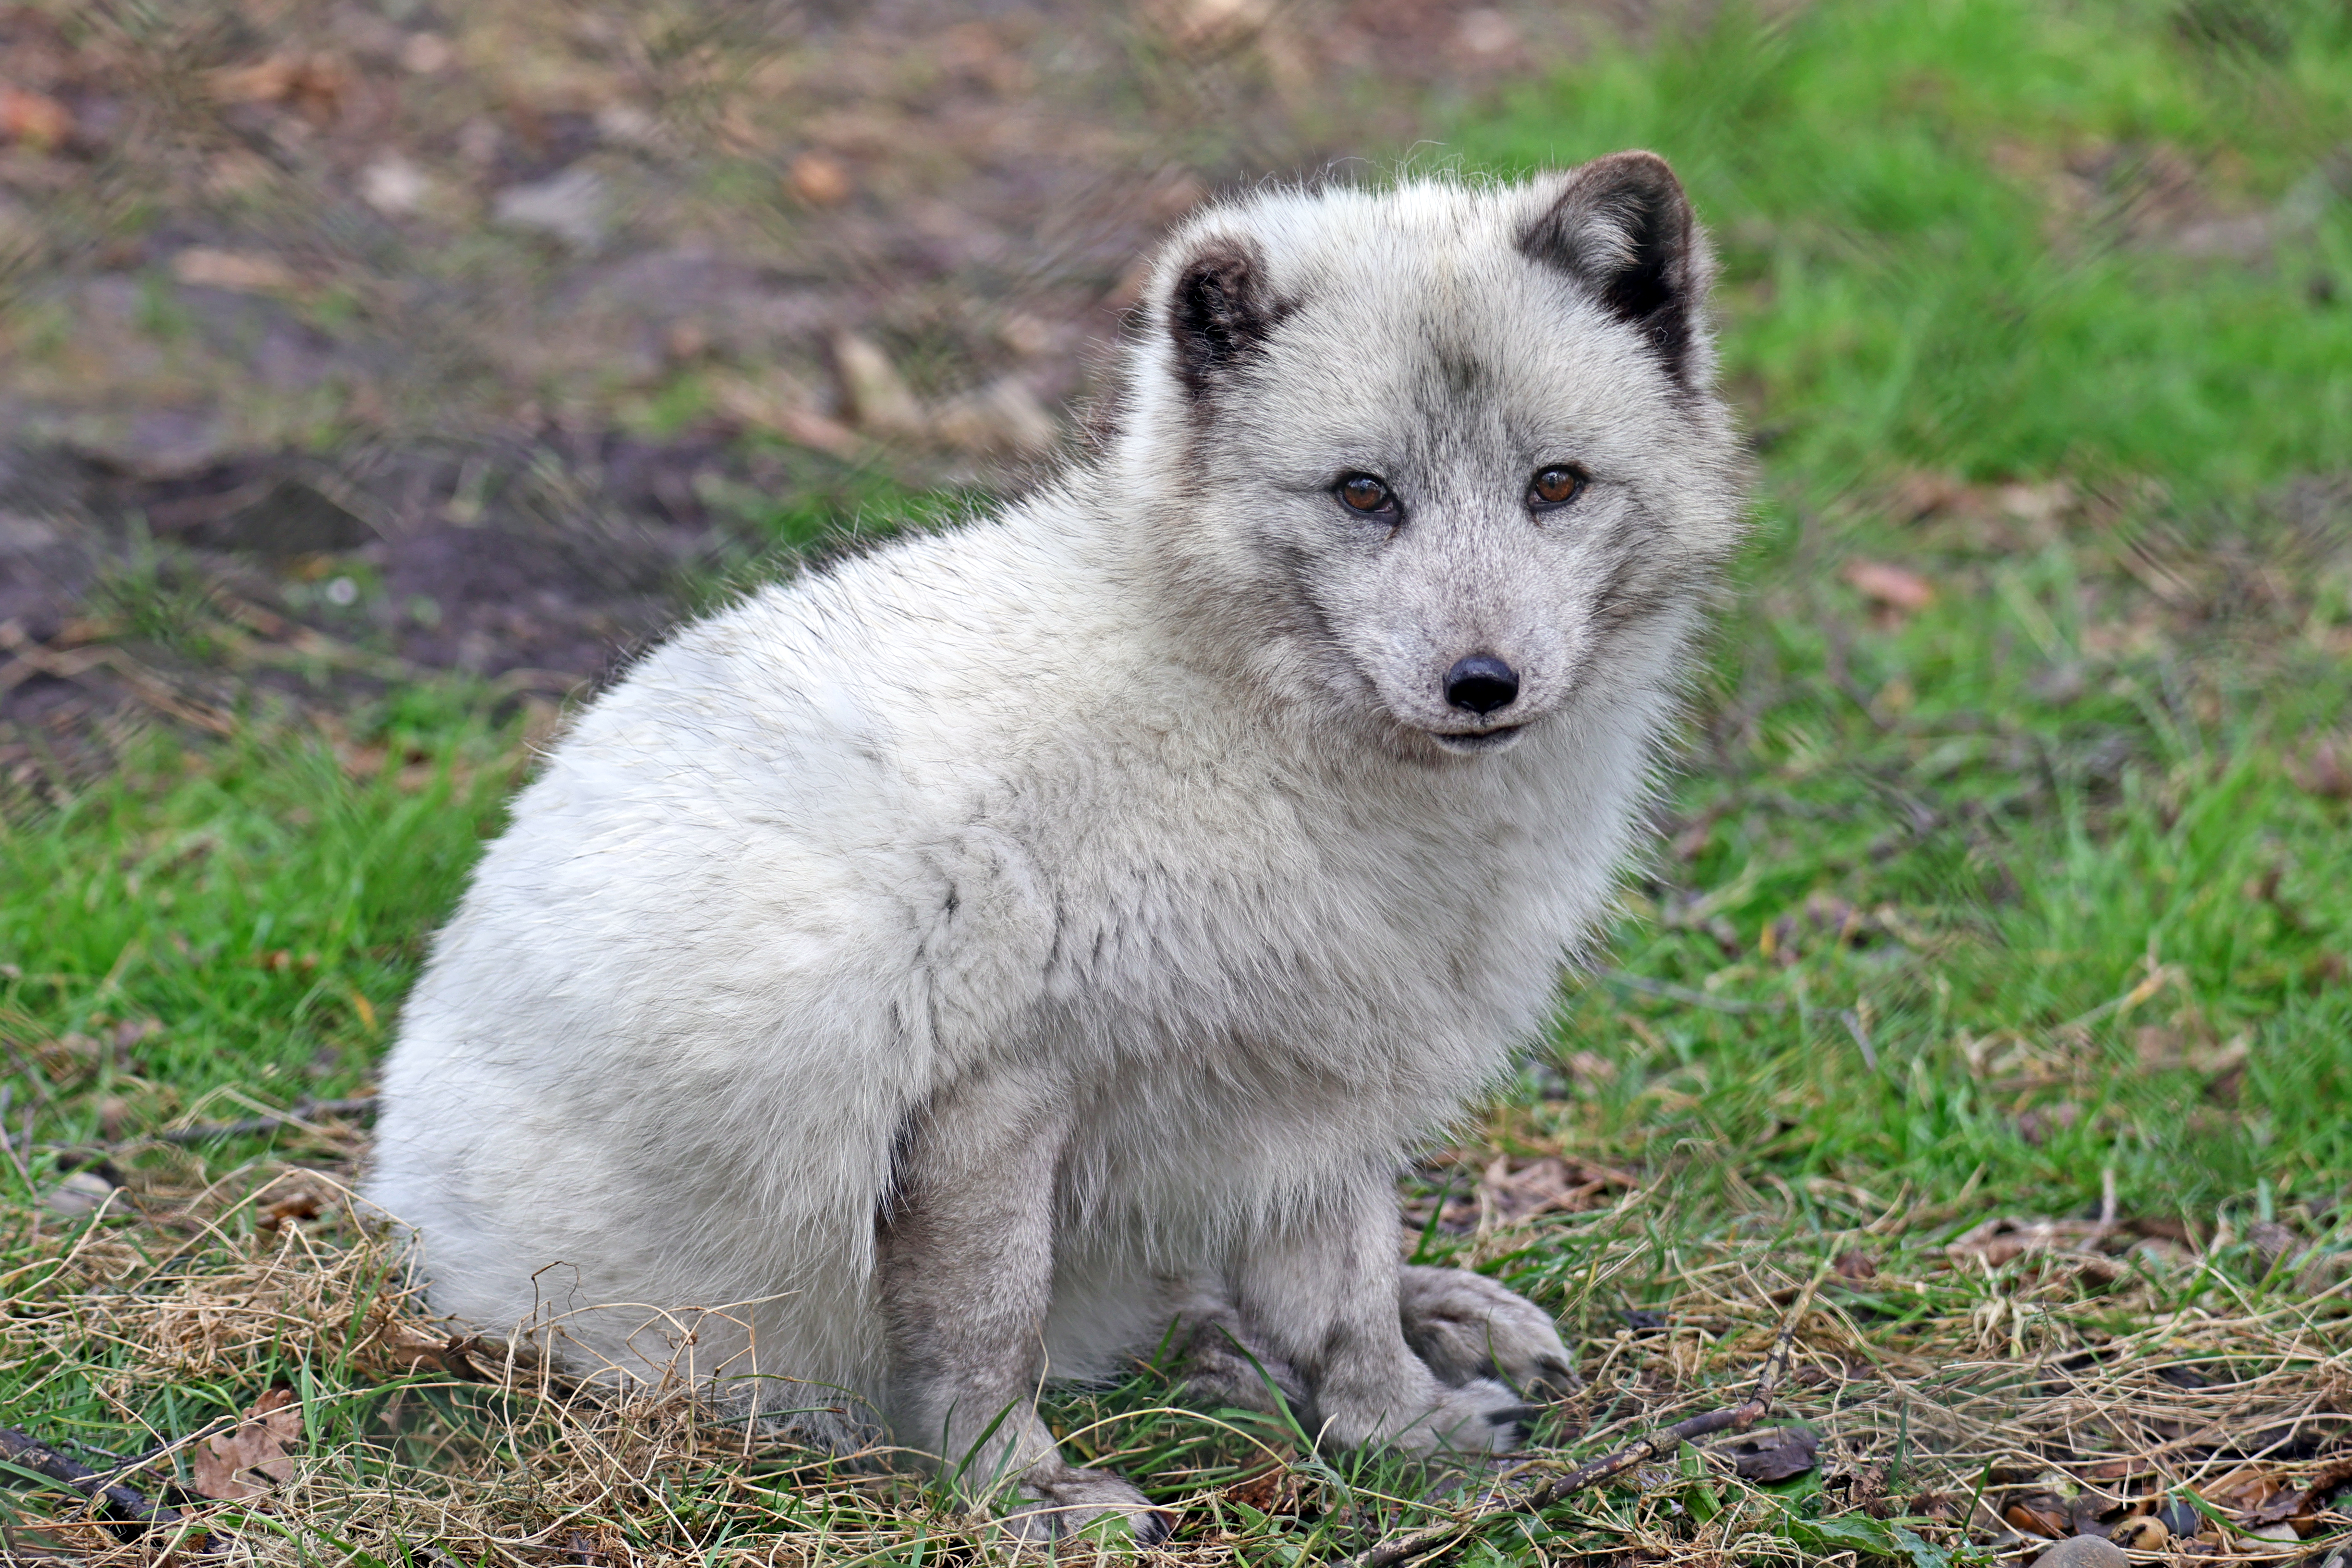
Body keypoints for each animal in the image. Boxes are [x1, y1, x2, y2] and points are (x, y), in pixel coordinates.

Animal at [364, 152, 1747, 1543]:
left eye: (1555, 484)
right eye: (1365, 493)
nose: (1483, 683)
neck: (1245, 729)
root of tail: (394, 1198)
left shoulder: (1325, 1070)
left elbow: (1349, 1286)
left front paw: (1397, 1425)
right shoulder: (996, 1093)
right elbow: (991, 1328)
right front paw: (1015, 1491)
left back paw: (1419, 1321)